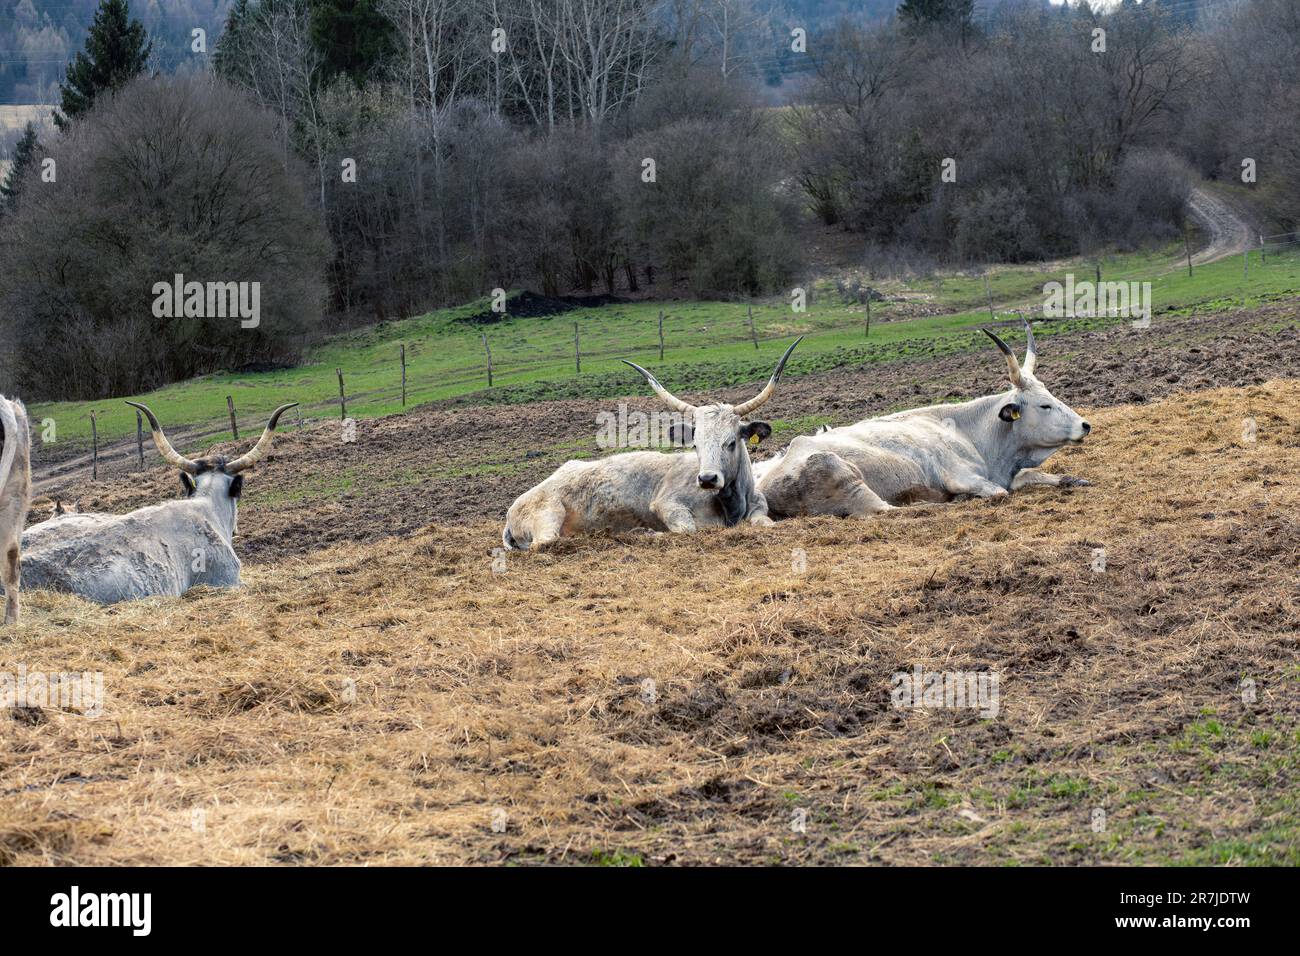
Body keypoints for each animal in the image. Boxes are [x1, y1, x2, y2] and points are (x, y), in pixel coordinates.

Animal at [502, 338, 802, 550]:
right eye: (695, 445)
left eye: (730, 442)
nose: (707, 479)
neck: (731, 504)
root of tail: (514, 506)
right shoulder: (666, 503)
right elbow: (687, 529)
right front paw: (648, 532)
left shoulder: (759, 508)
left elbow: (766, 523)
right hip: (548, 514)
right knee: (545, 543)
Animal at [756, 321, 1090, 518]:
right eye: (1045, 405)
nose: (1085, 425)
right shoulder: (961, 476)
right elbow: (998, 492)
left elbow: (1042, 476)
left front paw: (1074, 479)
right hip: (845, 478)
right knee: (887, 510)